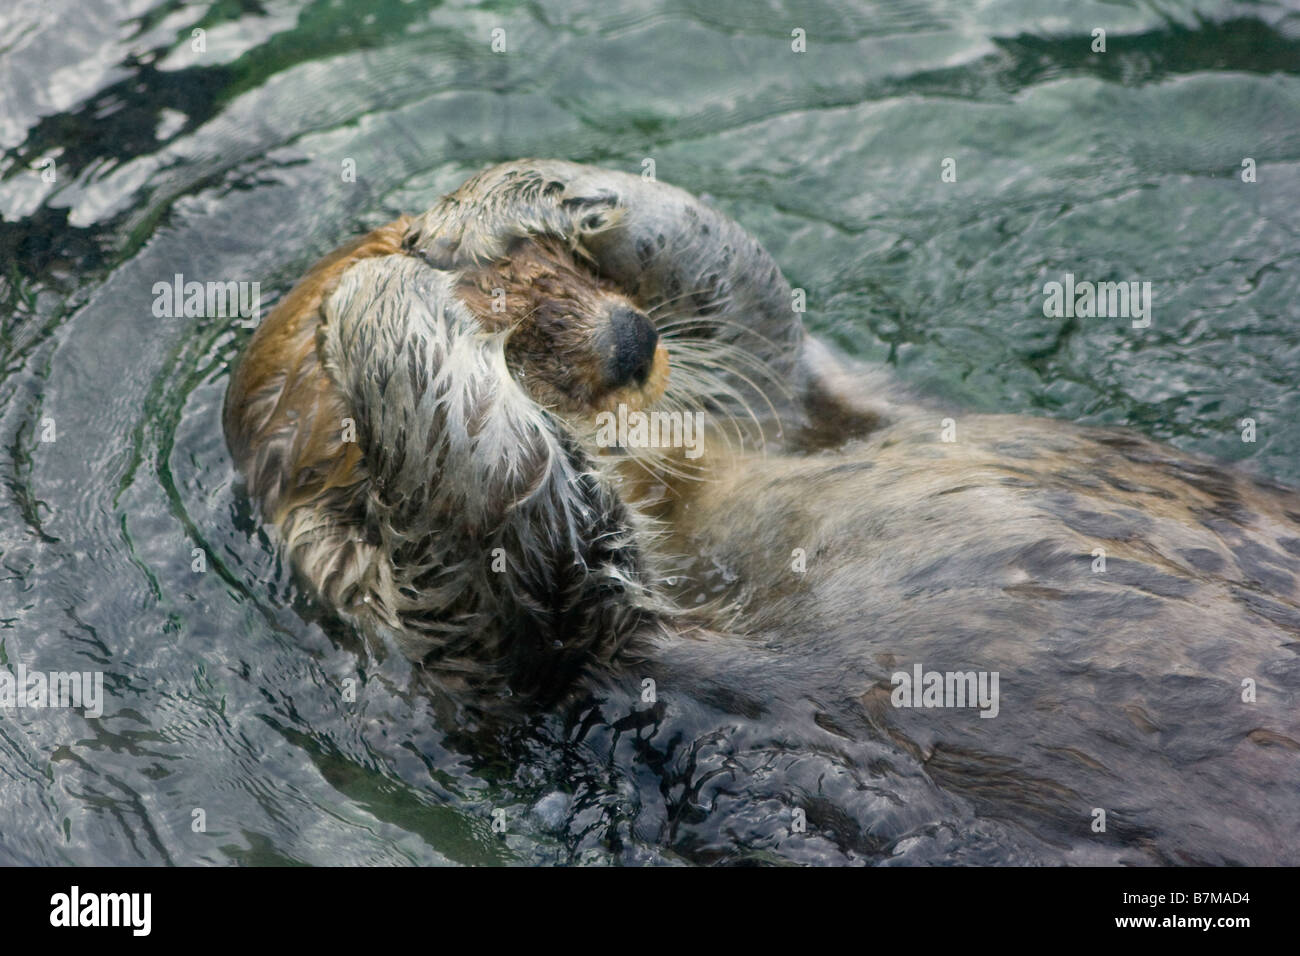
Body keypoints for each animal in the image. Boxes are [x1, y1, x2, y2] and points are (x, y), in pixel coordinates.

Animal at [225, 160, 1300, 864]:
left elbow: (743, 293)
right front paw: (385, 293)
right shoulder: (532, 629)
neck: (664, 483)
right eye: (515, 344)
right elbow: (491, 484)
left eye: (563, 275)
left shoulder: (788, 408)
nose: (631, 340)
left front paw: (503, 202)